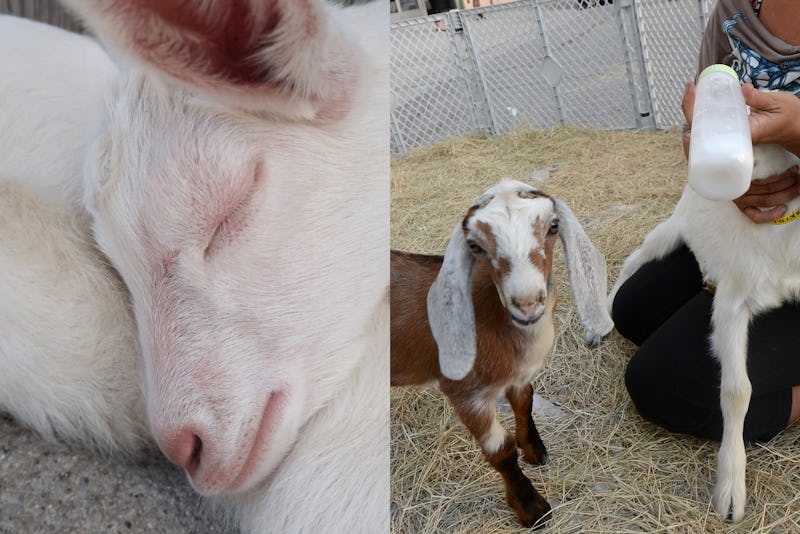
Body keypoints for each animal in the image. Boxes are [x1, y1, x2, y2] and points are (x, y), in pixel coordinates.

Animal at [391, 179, 614, 528]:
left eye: (553, 227)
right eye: (475, 246)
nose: (527, 304)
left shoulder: (519, 376)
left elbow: (525, 402)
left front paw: (535, 450)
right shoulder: (465, 394)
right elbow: (501, 451)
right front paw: (531, 508)